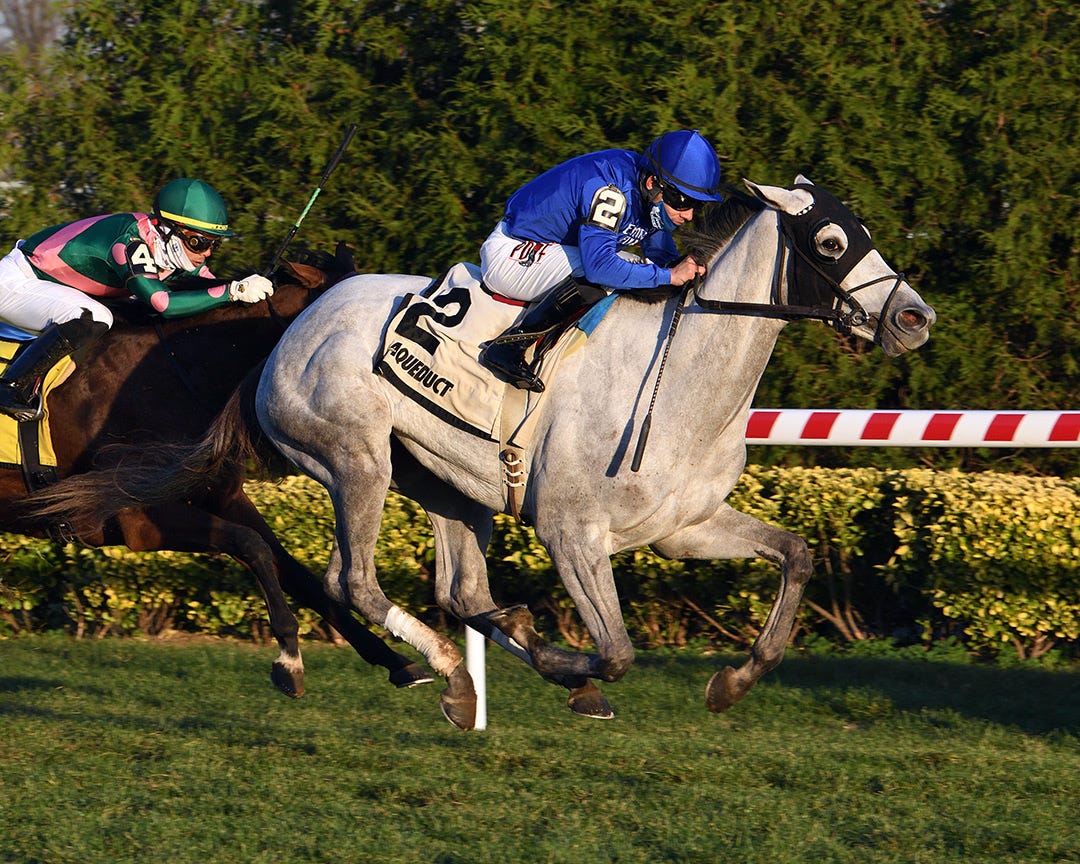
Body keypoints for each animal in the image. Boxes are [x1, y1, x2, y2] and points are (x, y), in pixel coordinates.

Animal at [5, 247, 431, 696]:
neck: (172, 374)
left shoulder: (223, 497)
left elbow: (296, 572)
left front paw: (397, 661)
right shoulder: (133, 516)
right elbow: (251, 545)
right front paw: (289, 658)